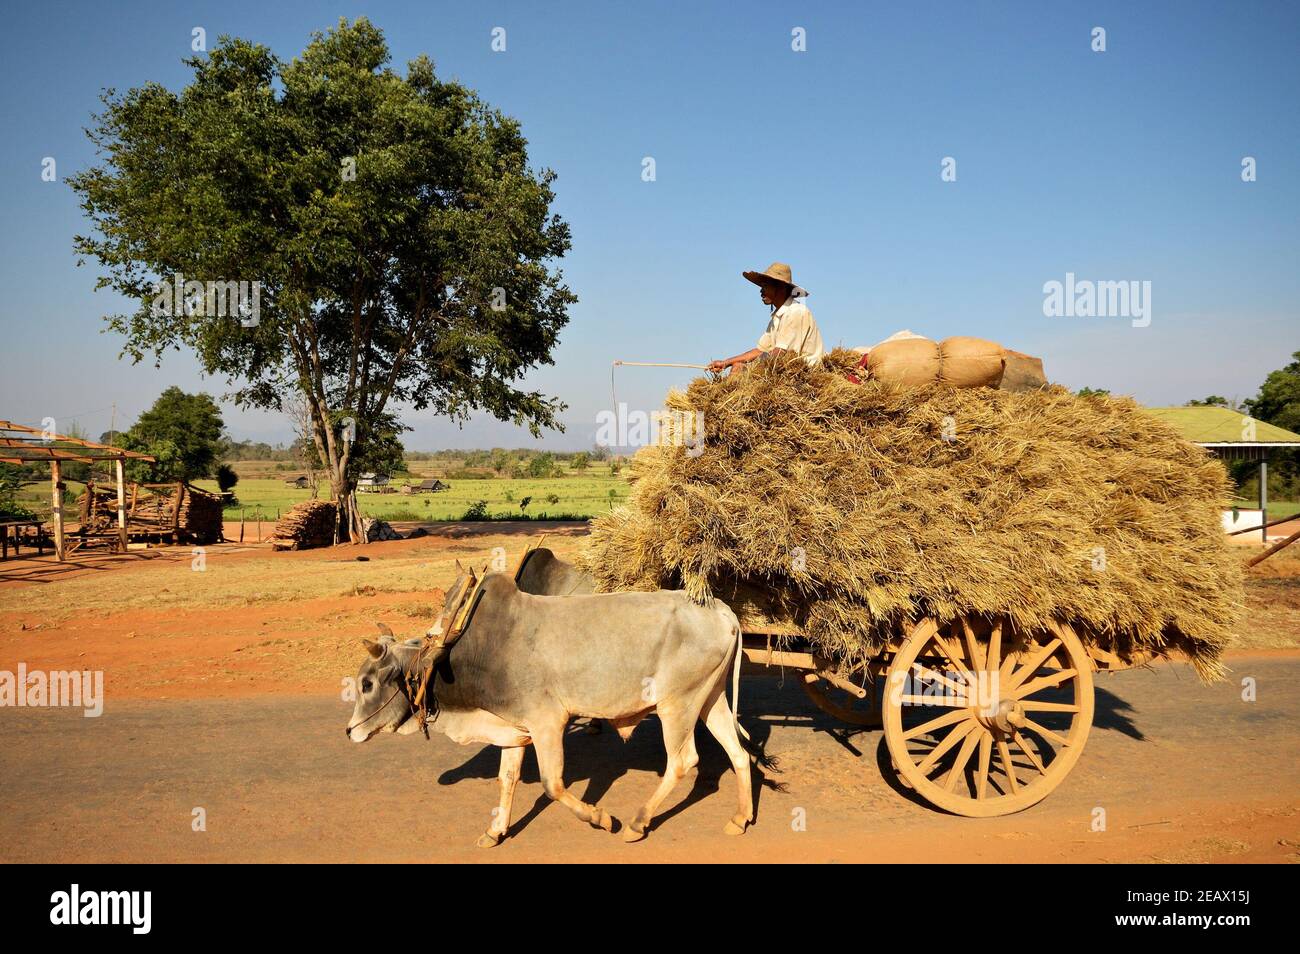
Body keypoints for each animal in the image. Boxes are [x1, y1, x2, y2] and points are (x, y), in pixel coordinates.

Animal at [345, 564, 754, 847]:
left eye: (367, 683)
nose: (350, 731)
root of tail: (720, 609)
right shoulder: (514, 728)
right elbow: (507, 779)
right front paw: (495, 831)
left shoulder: (548, 724)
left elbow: (552, 785)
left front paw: (601, 818)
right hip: (709, 699)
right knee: (738, 752)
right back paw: (741, 817)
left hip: (676, 705)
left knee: (683, 761)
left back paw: (638, 822)